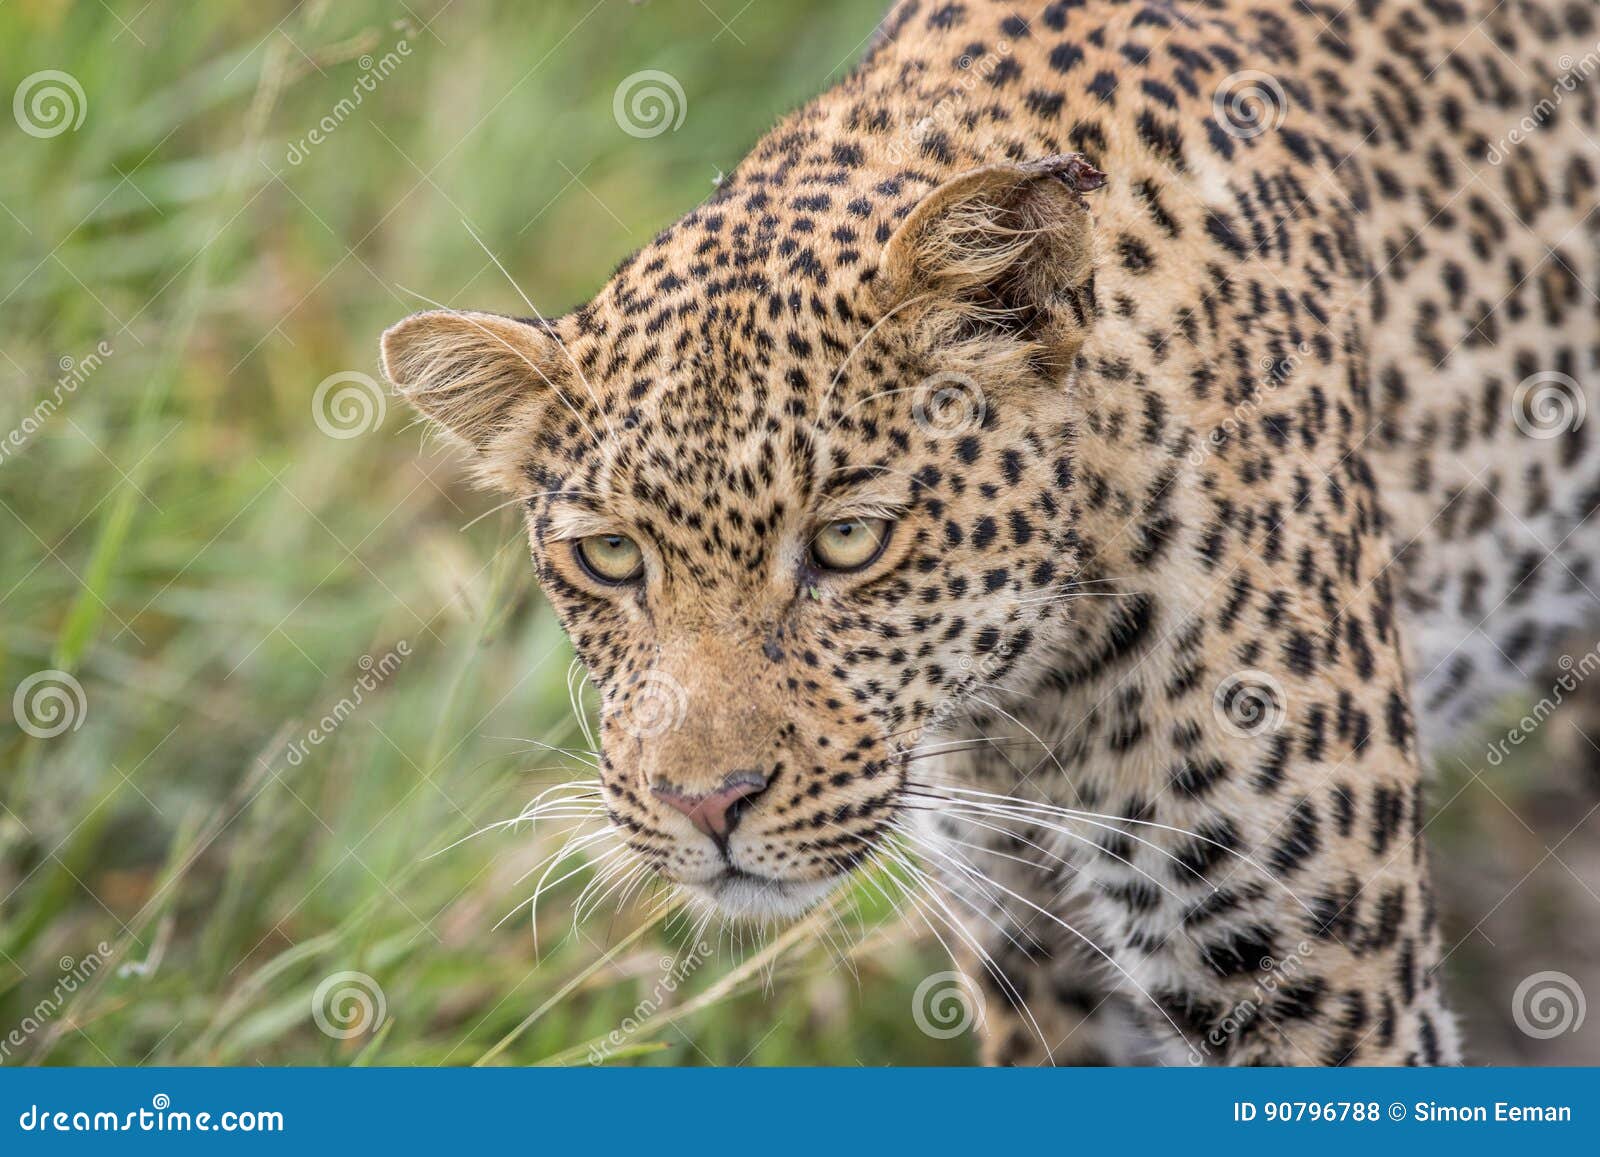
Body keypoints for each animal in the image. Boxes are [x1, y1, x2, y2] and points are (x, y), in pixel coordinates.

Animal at [379, 0, 1600, 1066]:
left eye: (848, 541)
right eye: (611, 557)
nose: (705, 804)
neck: (1021, 703)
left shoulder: (1320, 992)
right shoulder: (1032, 947)